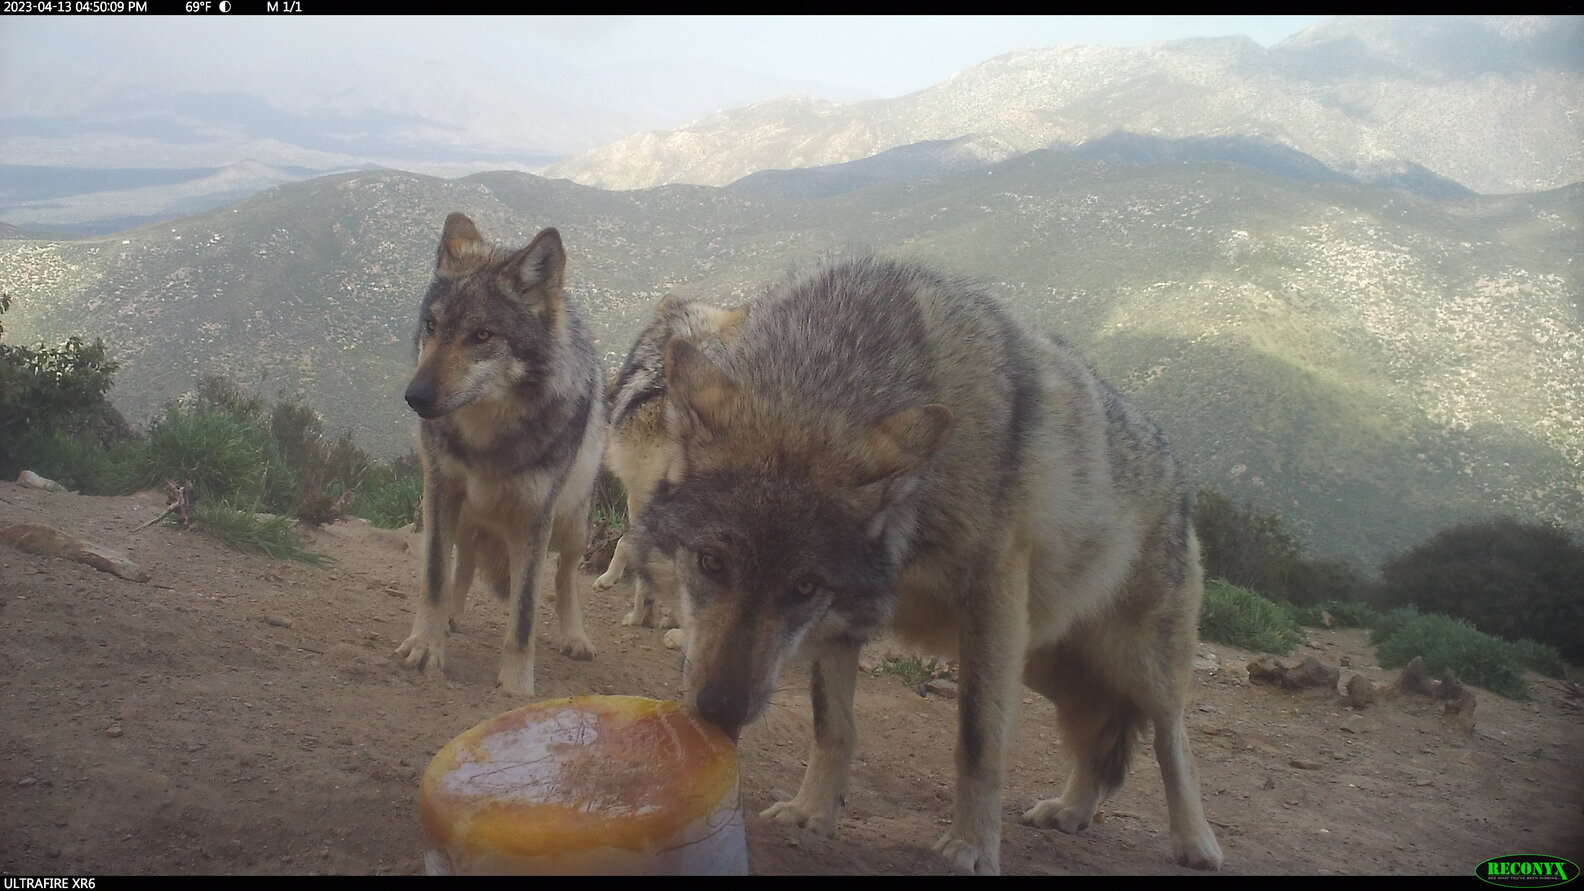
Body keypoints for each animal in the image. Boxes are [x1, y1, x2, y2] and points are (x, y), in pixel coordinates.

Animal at [395, 213, 607, 697]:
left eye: (482, 336)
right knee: (466, 561)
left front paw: (516, 686)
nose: (415, 397)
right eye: (431, 326)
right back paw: (451, 617)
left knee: (566, 576)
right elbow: (435, 576)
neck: (485, 441)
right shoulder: (440, 490)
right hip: (460, 517)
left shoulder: (534, 519)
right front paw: (425, 647)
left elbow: (525, 613)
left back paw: (576, 637)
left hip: (572, 527)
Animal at [629, 257, 1224, 874]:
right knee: (1103, 735)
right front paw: (811, 812)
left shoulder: (989, 604)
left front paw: (972, 847)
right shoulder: (846, 620)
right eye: (710, 562)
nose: (720, 710)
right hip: (1044, 661)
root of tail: (1175, 466)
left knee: (1173, 739)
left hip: (1134, 661)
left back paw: (1196, 841)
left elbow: (979, 740)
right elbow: (832, 724)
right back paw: (1071, 811)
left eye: (803, 586)